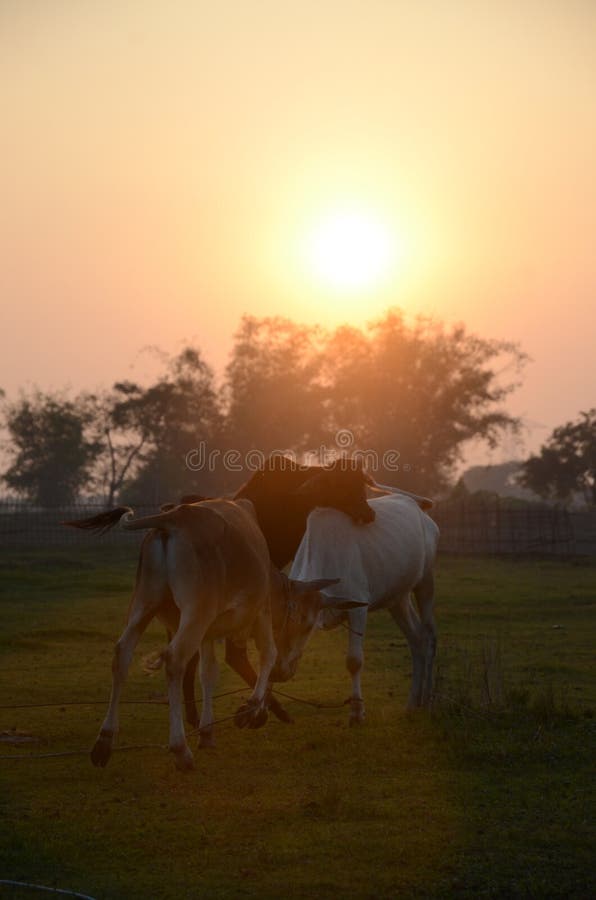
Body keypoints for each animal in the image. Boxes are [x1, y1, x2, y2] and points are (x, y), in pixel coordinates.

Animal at [83, 499, 362, 771]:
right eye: (307, 624)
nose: (287, 672)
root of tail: (174, 518)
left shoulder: (208, 633)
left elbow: (209, 673)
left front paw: (207, 732)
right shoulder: (261, 611)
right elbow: (268, 654)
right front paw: (251, 709)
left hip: (144, 604)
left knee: (122, 653)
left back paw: (104, 741)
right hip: (197, 611)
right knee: (174, 660)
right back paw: (180, 749)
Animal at [289, 491, 439, 724]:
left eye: (307, 626)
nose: (283, 670)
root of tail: (419, 509)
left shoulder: (358, 609)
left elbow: (354, 661)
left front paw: (357, 712)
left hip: (425, 582)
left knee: (430, 635)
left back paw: (429, 701)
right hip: (398, 600)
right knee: (416, 639)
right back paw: (413, 703)